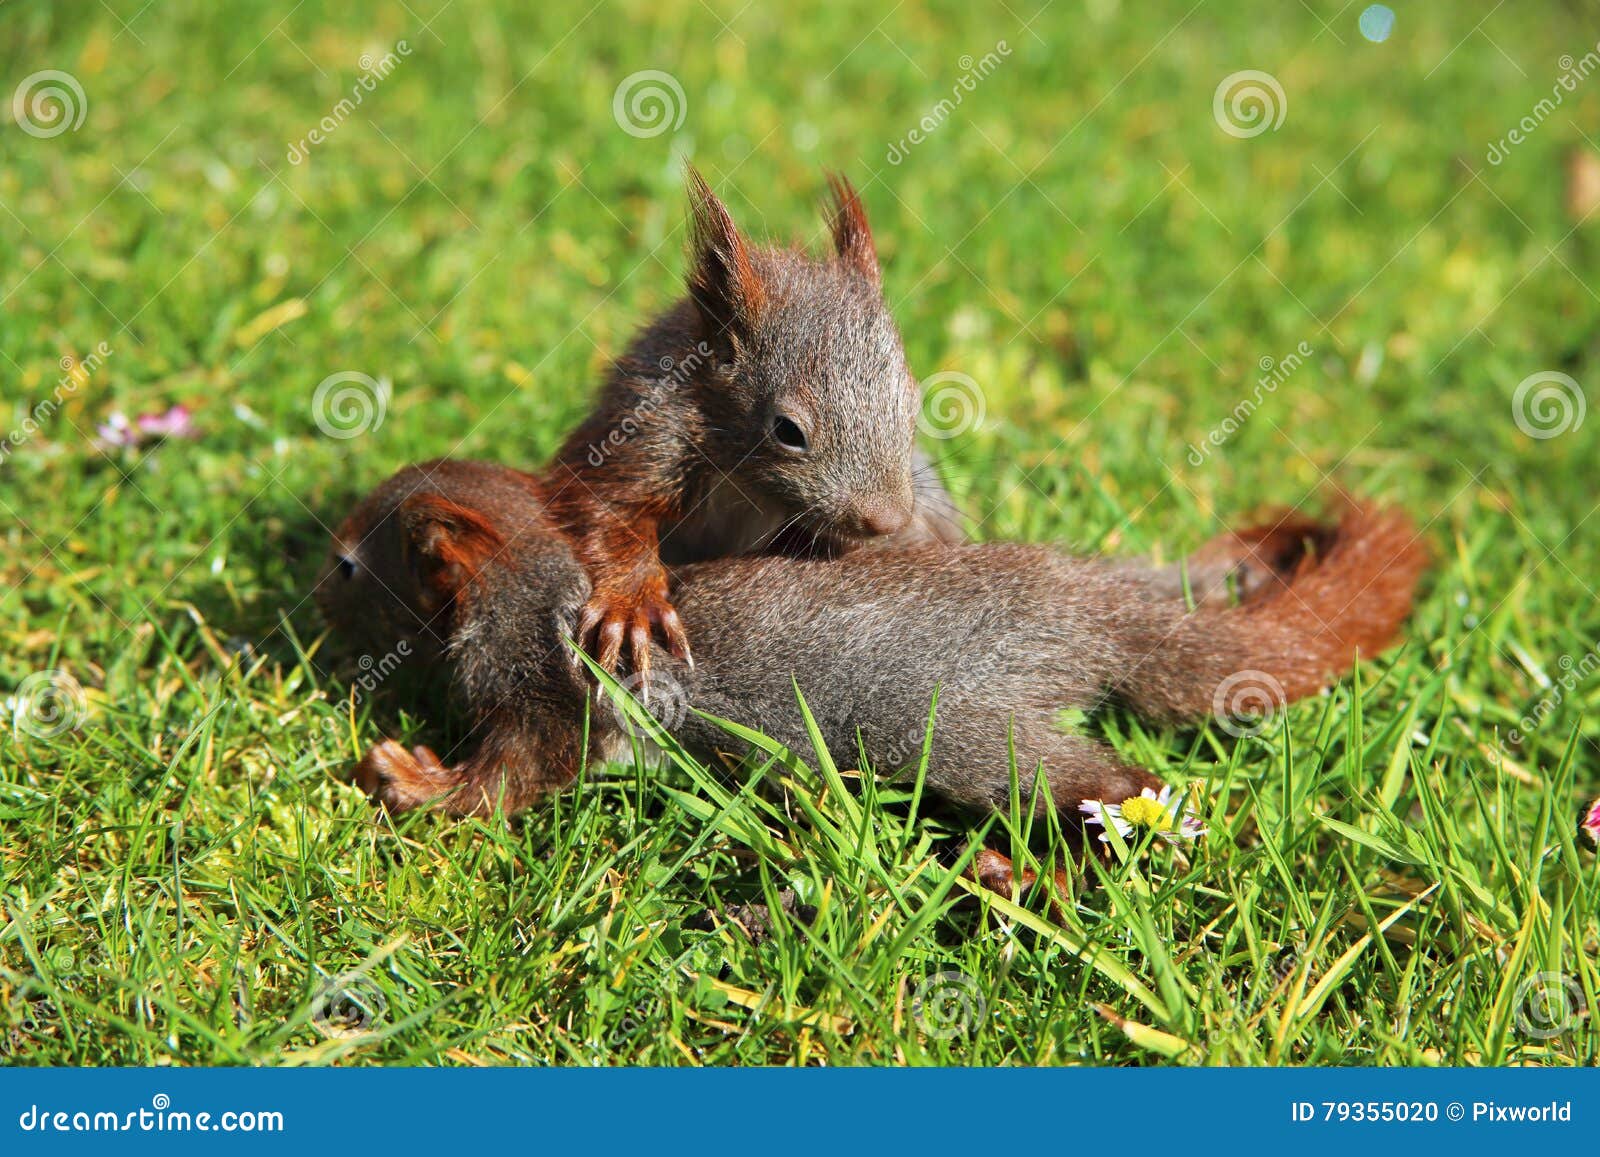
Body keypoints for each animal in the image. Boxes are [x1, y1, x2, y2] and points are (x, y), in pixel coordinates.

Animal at [316, 459, 1426, 828]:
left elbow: (509, 777)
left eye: (346, 564)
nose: (312, 596)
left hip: (970, 732)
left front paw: (407, 775)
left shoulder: (551, 698)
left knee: (1114, 779)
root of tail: (1083, 603)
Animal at [539, 166, 962, 689]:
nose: (887, 520)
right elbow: (603, 503)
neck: (749, 482)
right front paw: (631, 605)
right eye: (787, 430)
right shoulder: (648, 429)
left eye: (912, 403)